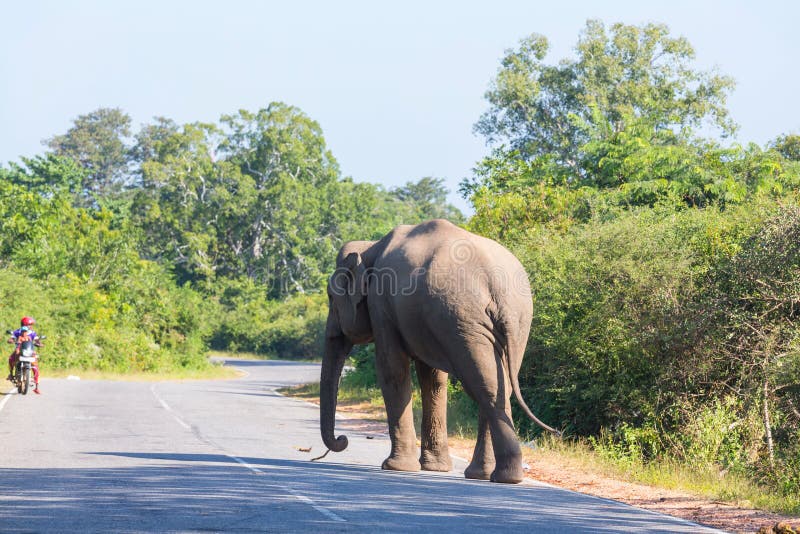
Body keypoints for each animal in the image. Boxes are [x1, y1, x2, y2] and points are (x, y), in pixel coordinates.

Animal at [319, 219, 559, 484]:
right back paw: (486, 475)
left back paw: (503, 477)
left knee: (482, 385)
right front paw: (434, 468)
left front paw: (396, 467)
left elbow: (392, 370)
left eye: (330, 297)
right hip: (513, 321)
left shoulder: (381, 305)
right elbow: (433, 379)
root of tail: (496, 283)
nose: (342, 440)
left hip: (463, 317)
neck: (370, 246)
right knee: (497, 384)